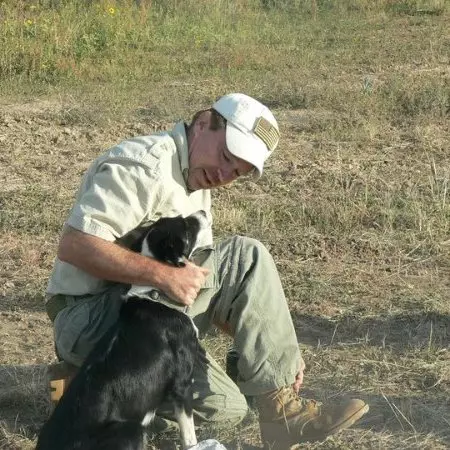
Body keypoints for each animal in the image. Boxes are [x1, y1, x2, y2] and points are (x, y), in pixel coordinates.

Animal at [37, 211, 209, 450]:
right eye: (186, 226)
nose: (202, 212)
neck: (154, 295)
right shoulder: (182, 384)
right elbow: (190, 436)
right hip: (132, 430)